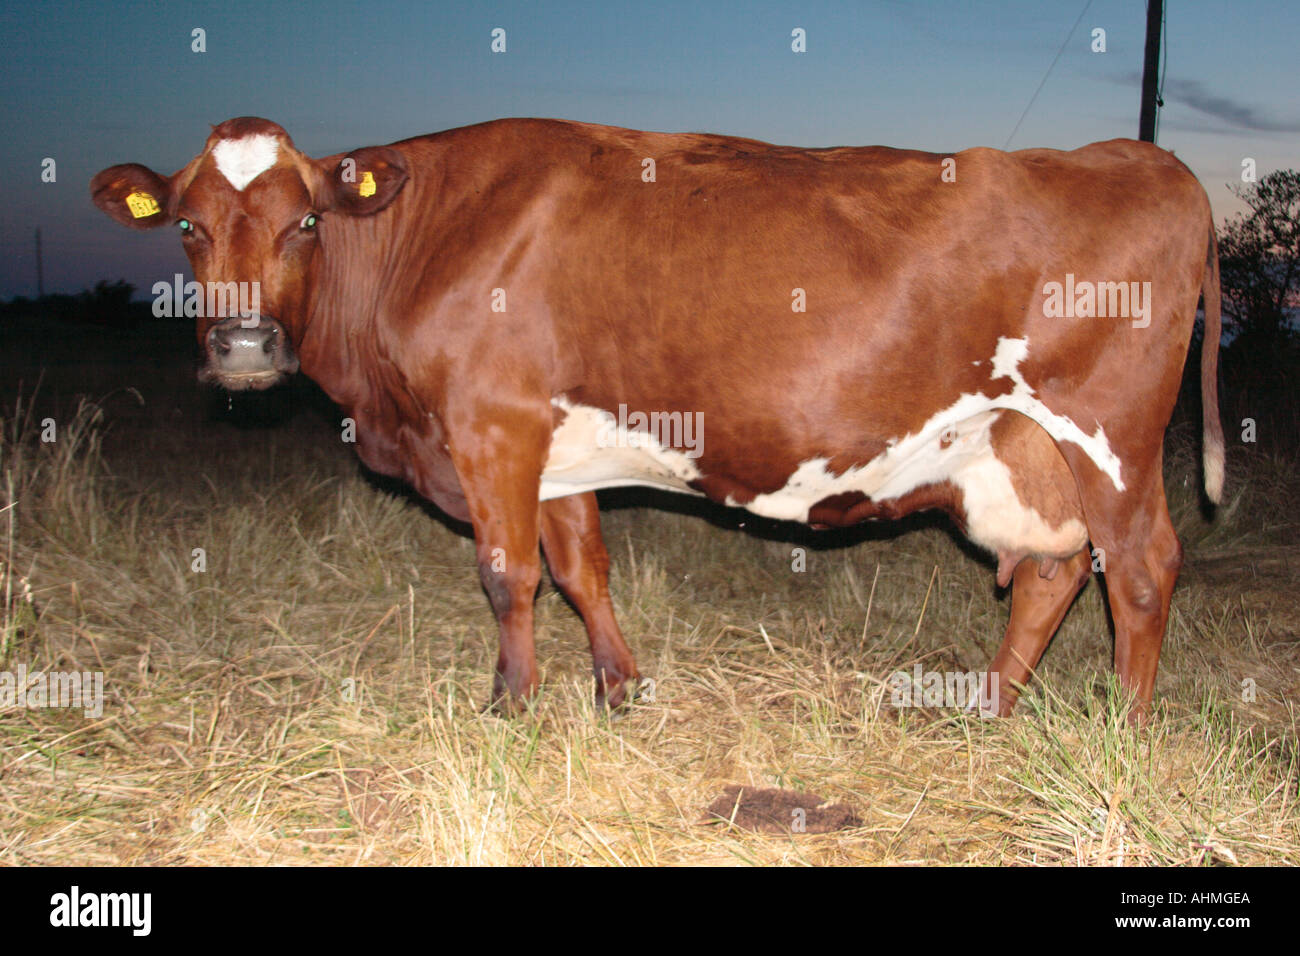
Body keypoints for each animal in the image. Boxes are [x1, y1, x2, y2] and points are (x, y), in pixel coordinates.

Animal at [91, 116, 1223, 723]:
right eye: (187, 225)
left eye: (305, 223)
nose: (245, 350)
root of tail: (1140, 156)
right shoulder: (555, 447)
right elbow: (578, 567)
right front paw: (617, 687)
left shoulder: (491, 425)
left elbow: (505, 575)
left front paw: (510, 704)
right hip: (1022, 447)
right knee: (1052, 572)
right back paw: (989, 705)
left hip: (1110, 434)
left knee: (1139, 568)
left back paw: (1122, 732)